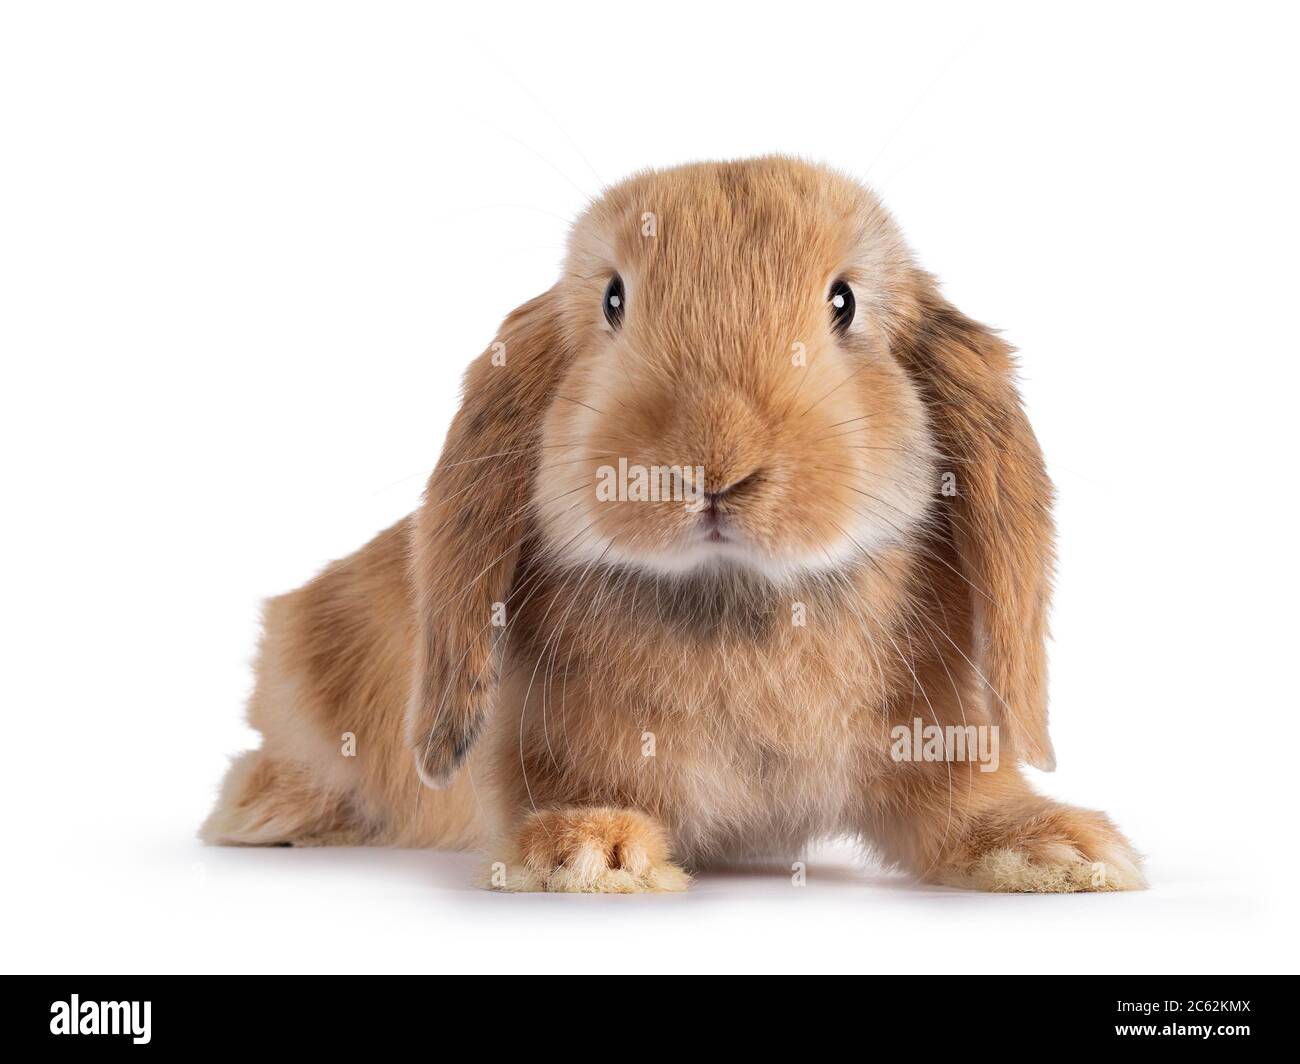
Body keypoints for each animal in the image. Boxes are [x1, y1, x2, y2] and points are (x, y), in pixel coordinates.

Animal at [202, 156, 1144, 894]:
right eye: (614, 301)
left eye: (844, 303)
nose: (713, 462)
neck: (740, 601)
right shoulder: (531, 746)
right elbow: (551, 792)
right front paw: (588, 851)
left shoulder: (938, 739)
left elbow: (961, 806)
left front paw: (1062, 850)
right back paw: (263, 812)